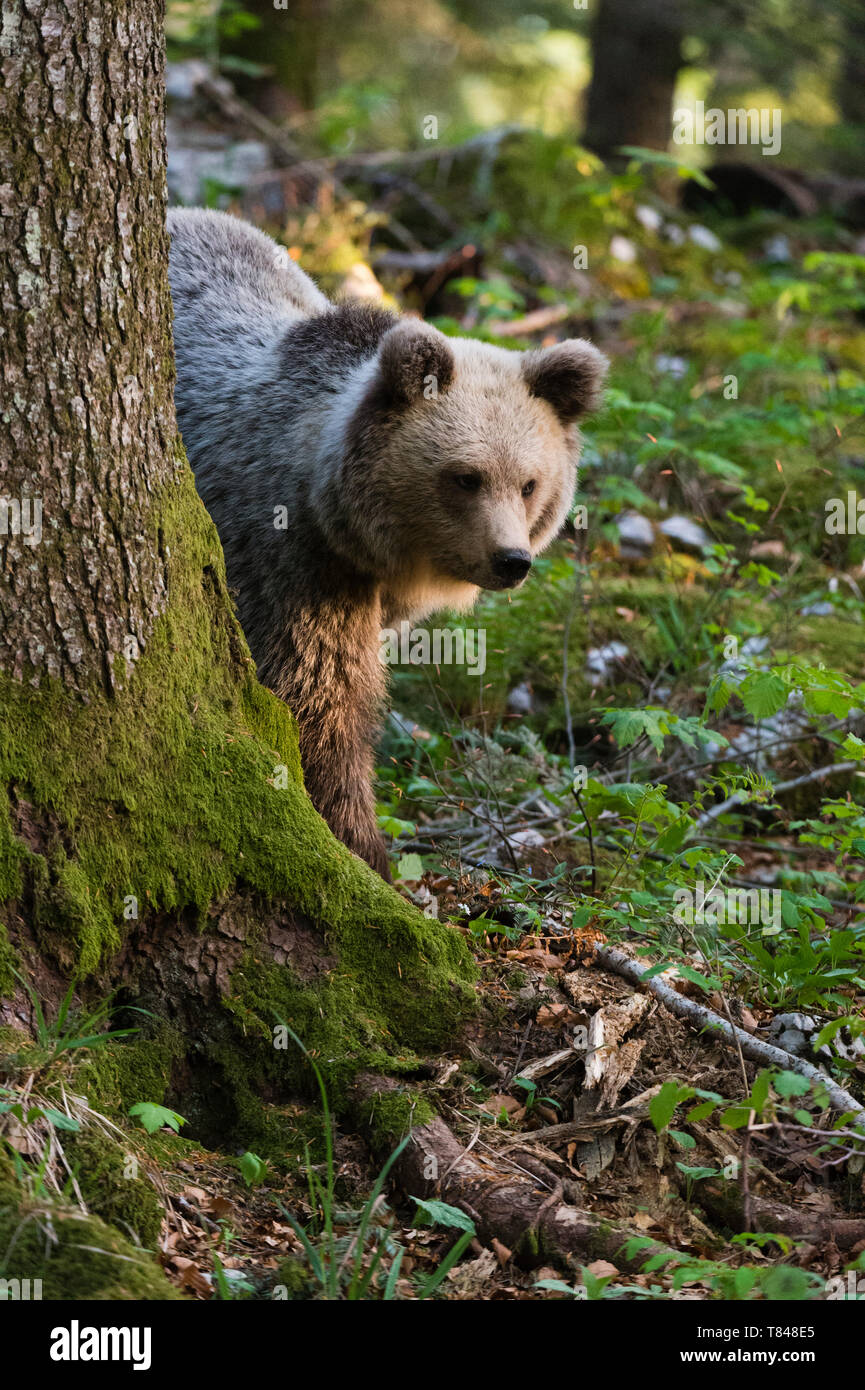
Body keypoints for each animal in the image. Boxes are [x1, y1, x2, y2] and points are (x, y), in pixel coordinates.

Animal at [167, 208, 607, 880]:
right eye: (465, 476)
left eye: (530, 483)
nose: (512, 560)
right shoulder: (283, 558)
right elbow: (317, 699)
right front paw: (361, 843)